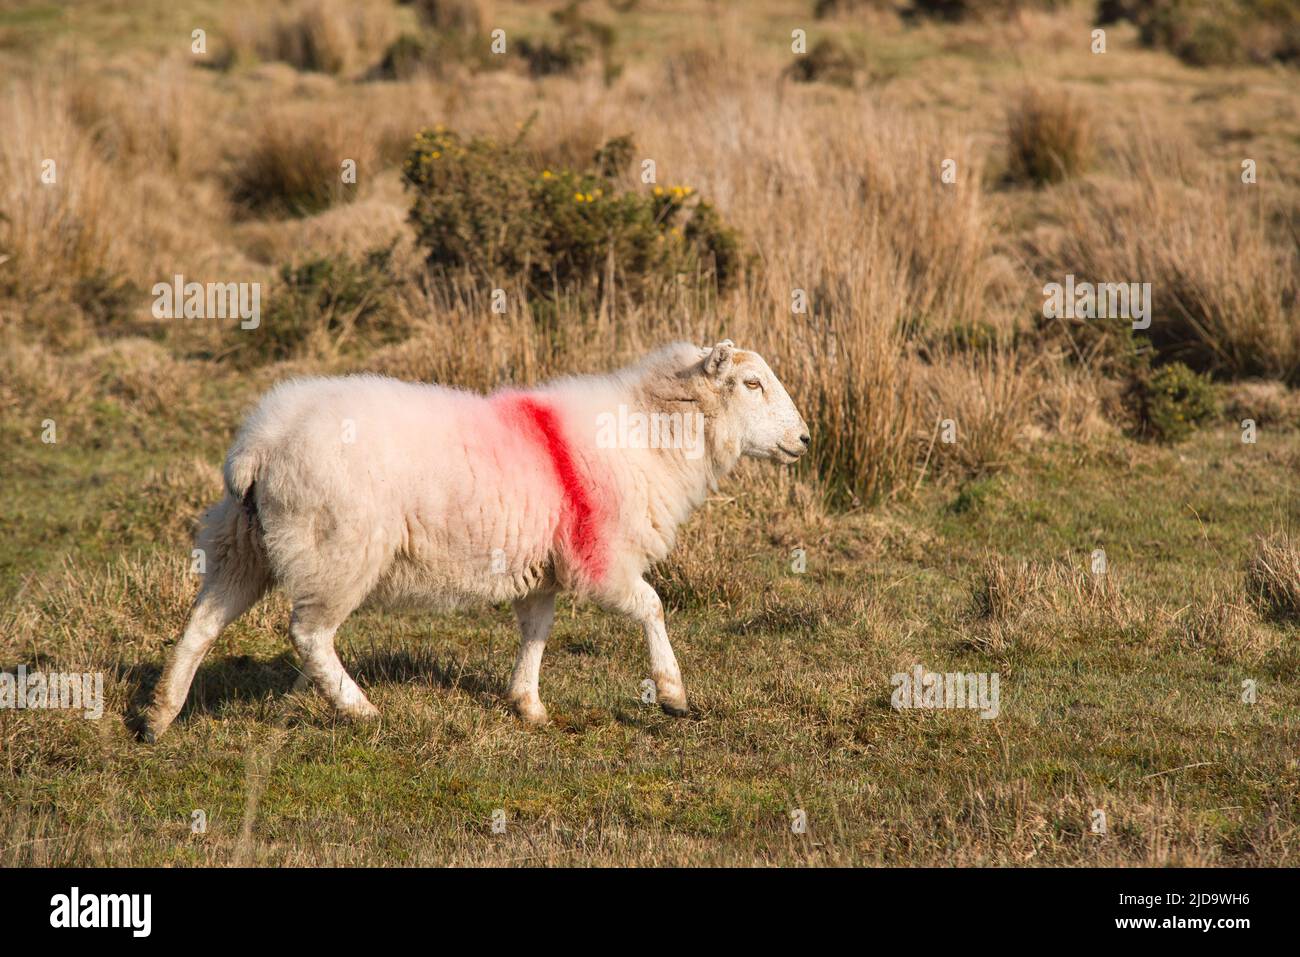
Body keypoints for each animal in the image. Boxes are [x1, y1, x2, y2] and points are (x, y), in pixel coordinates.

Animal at [141, 340, 810, 740]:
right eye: (752, 384)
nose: (805, 439)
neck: (650, 435)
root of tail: (259, 445)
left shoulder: (545, 564)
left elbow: (537, 630)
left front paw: (527, 703)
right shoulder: (601, 556)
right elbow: (653, 606)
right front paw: (672, 695)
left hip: (241, 545)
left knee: (202, 625)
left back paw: (159, 716)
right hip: (339, 549)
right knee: (309, 634)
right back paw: (358, 708)